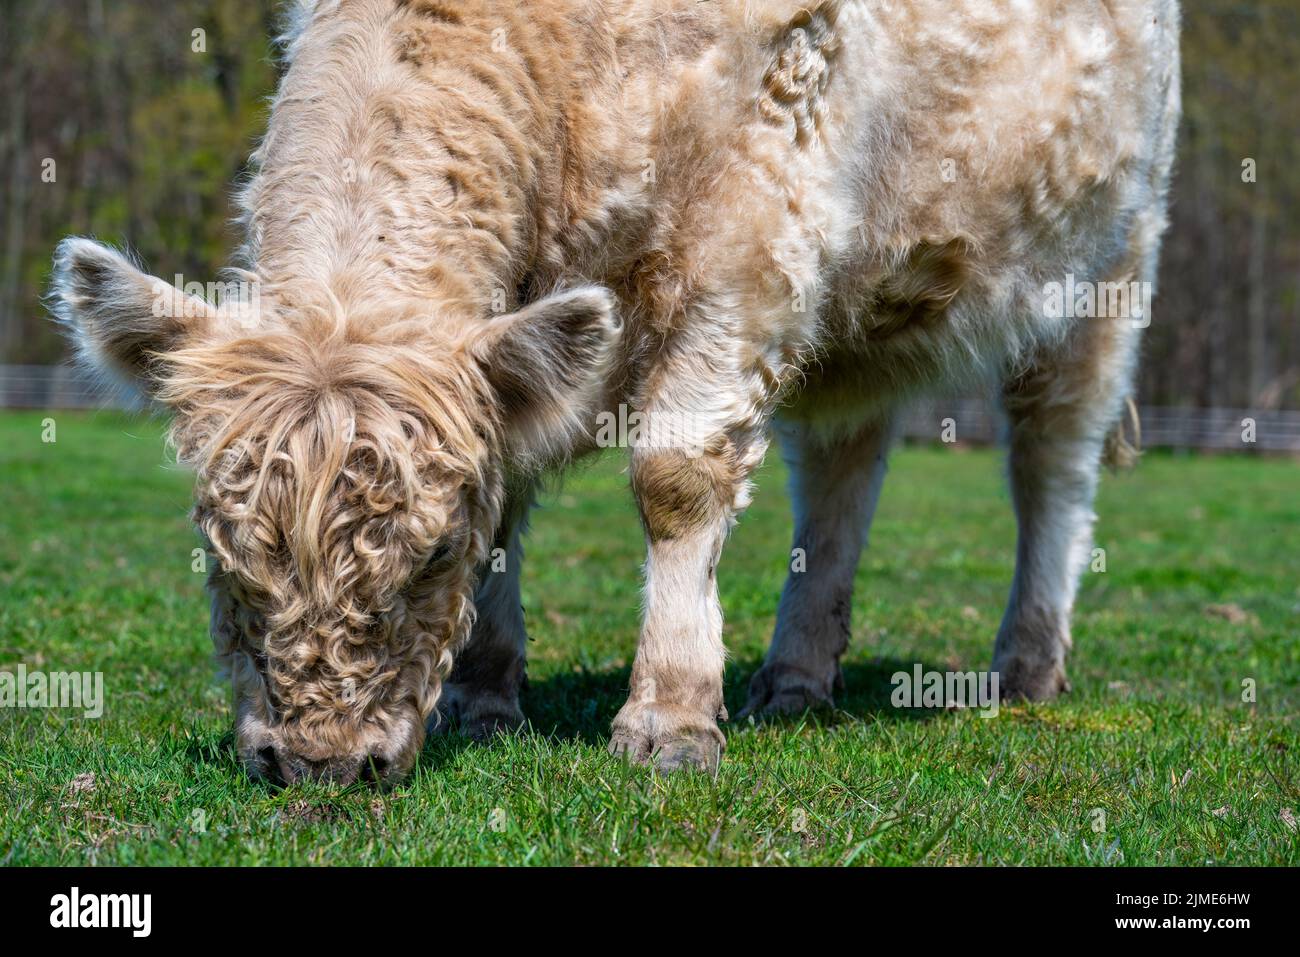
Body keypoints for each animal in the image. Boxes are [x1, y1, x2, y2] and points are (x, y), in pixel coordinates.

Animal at [50, 0, 1181, 783]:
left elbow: (676, 479)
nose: (318, 763)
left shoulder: (744, 244)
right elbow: (510, 489)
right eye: (223, 557)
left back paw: (1026, 664)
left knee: (1052, 463)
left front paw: (668, 716)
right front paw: (486, 695)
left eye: (431, 556)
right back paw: (796, 675)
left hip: (1106, 261)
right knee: (843, 472)